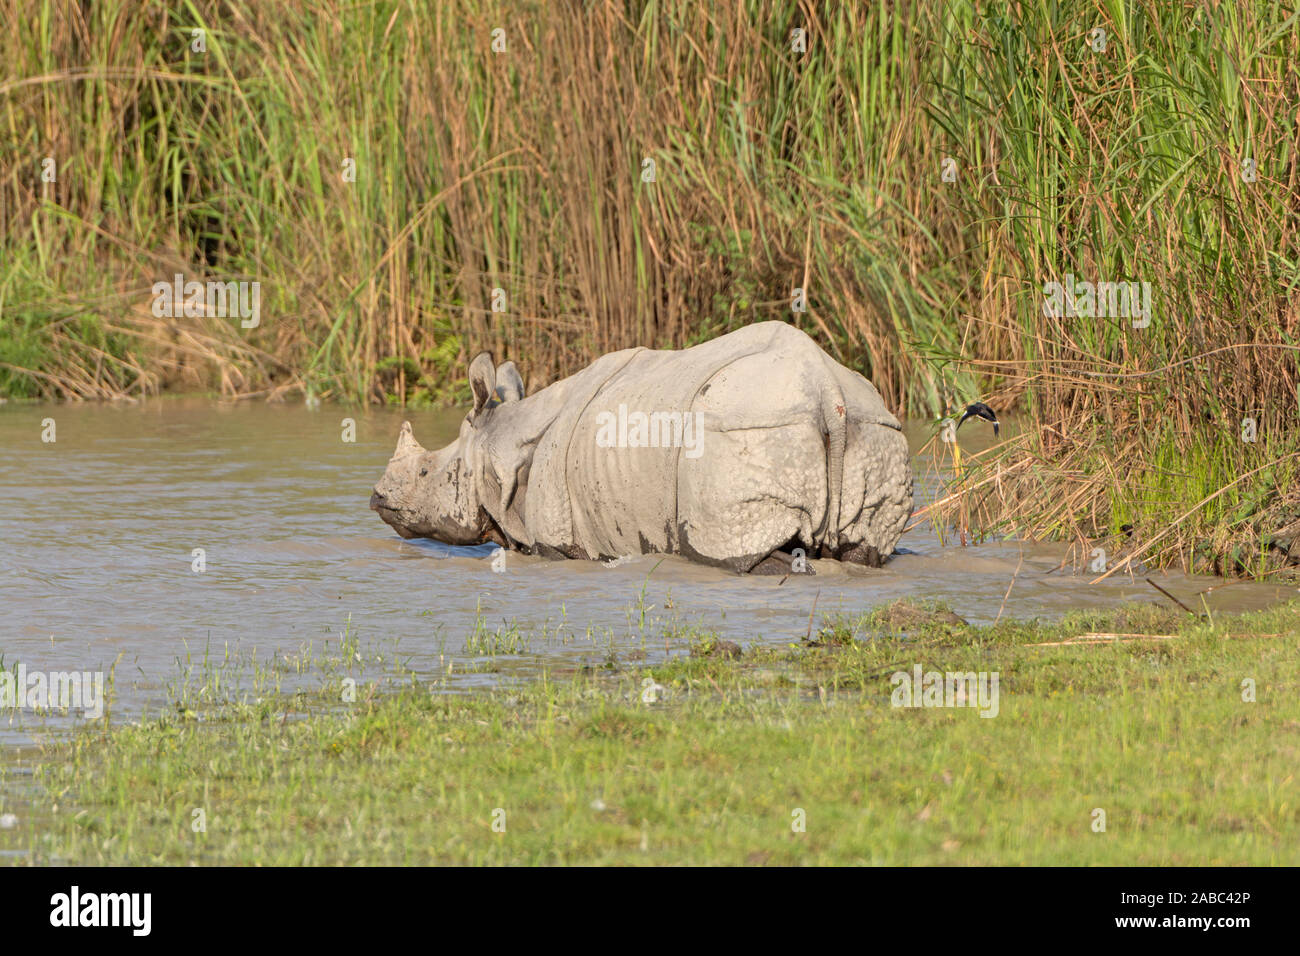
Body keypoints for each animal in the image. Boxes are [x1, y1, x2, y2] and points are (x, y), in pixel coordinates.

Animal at [370, 321, 913, 572]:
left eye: (426, 473)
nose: (376, 497)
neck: (502, 443)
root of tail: (825, 389)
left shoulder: (558, 540)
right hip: (876, 431)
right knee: (862, 552)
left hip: (747, 431)